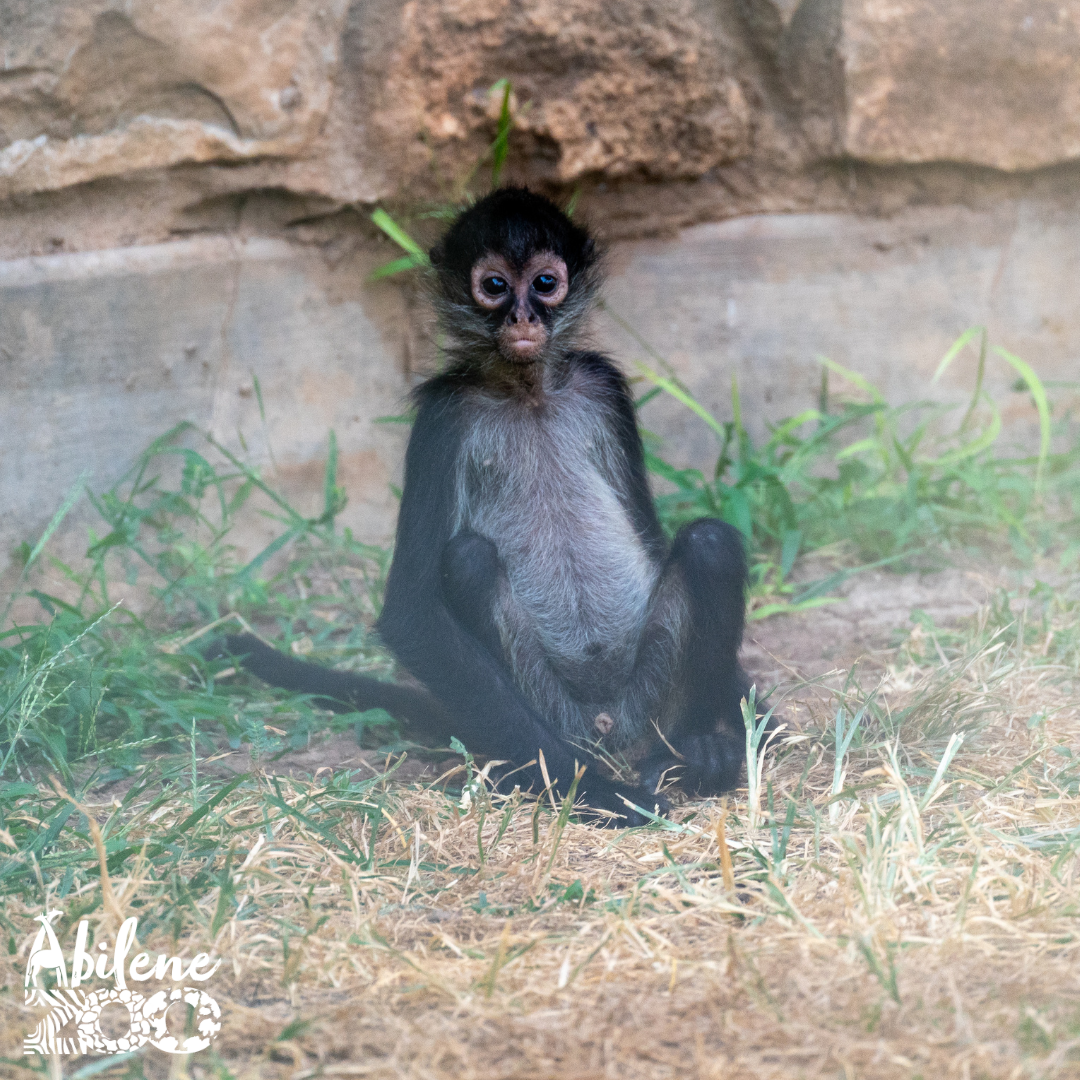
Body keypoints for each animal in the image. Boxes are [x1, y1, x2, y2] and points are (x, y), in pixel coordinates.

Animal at [224, 187, 753, 826]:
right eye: (495, 286)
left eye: (545, 283)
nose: (523, 316)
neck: (526, 392)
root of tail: (606, 726)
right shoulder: (442, 415)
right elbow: (412, 612)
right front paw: (598, 795)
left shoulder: (604, 385)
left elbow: (653, 539)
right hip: (546, 707)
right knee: (470, 557)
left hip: (649, 699)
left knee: (709, 545)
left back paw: (692, 749)